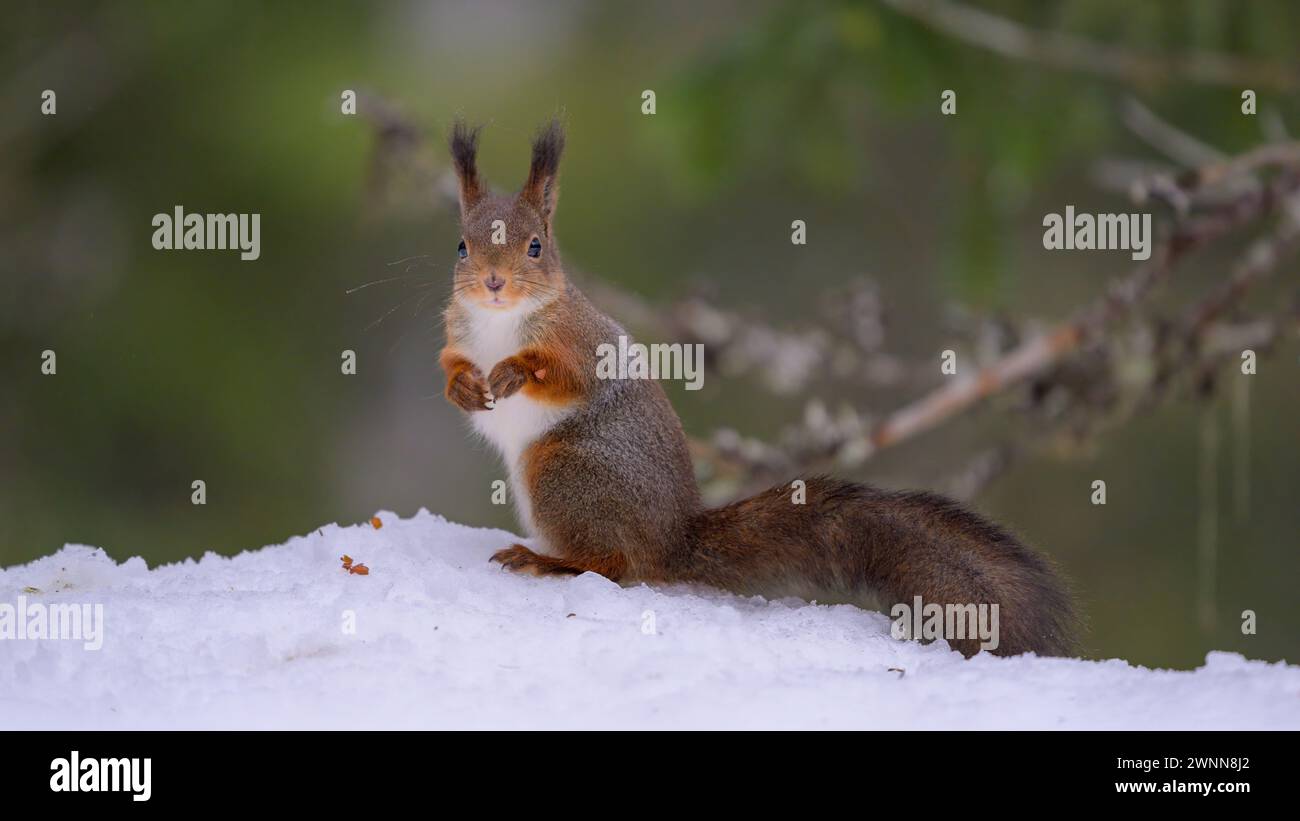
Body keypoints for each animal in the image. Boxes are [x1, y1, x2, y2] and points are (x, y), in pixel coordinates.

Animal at [439, 120, 1079, 658]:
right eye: (462, 246)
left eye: (535, 247)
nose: (494, 282)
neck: (499, 322)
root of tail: (672, 539)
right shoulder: (457, 333)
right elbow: (450, 365)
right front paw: (465, 387)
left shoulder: (580, 340)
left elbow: (565, 372)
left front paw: (514, 372)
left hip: (563, 471)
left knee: (615, 564)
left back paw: (546, 561)